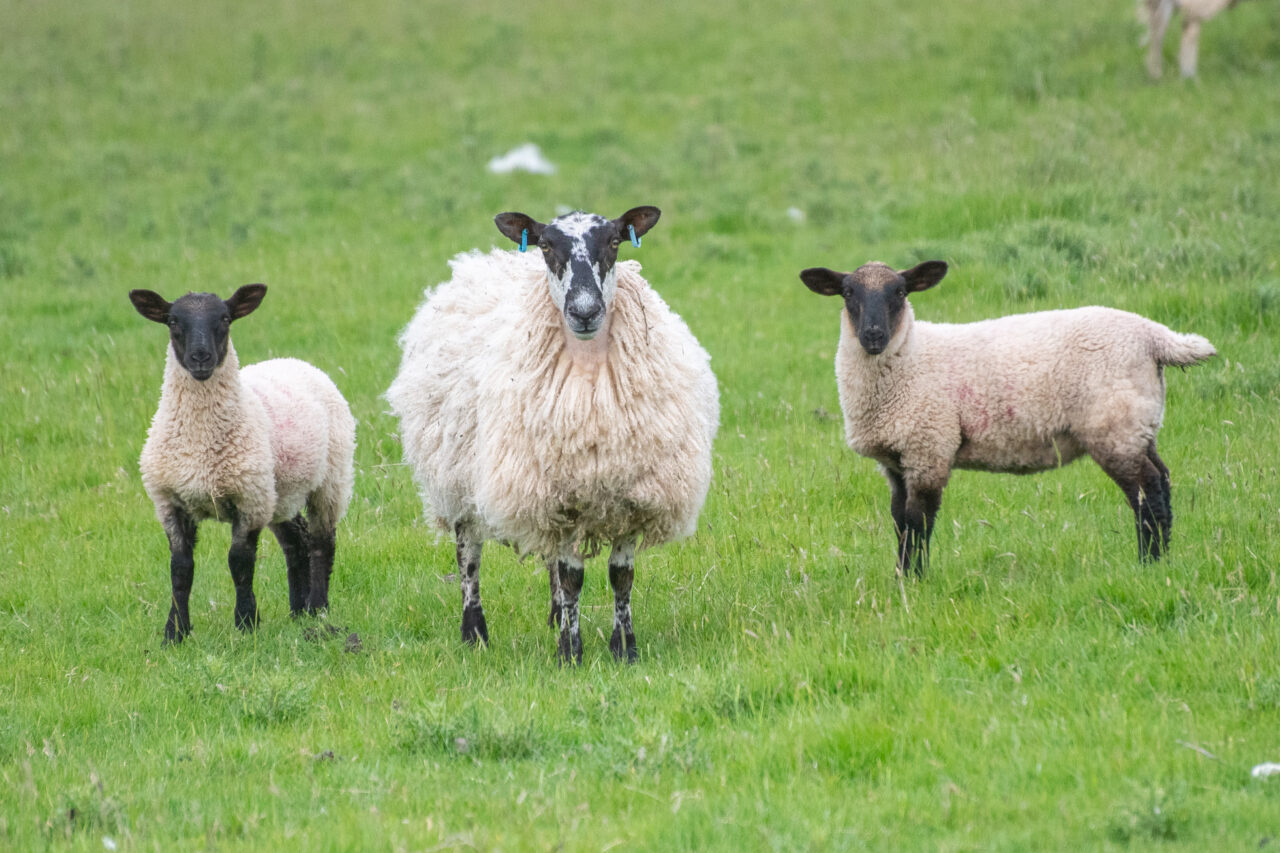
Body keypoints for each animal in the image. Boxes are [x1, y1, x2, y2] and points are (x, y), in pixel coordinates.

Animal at [129, 284, 356, 642]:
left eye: (224, 318)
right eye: (173, 321)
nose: (201, 358)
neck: (200, 442)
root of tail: (292, 360)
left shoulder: (248, 500)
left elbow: (240, 562)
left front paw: (247, 623)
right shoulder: (169, 503)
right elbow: (180, 568)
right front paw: (175, 632)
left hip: (330, 480)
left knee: (322, 542)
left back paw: (318, 608)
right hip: (278, 491)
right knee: (296, 541)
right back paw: (298, 611)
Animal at [386, 206, 719, 664]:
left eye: (614, 241)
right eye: (545, 245)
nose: (585, 311)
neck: (589, 376)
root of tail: (481, 261)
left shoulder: (632, 494)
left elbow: (621, 577)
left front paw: (624, 649)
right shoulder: (559, 495)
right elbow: (571, 576)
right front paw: (570, 653)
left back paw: (553, 615)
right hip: (457, 477)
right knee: (469, 555)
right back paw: (474, 633)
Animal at [799, 261, 1216, 576]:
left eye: (900, 292)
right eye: (848, 293)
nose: (873, 335)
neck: (910, 358)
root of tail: (1154, 336)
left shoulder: (928, 447)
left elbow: (919, 522)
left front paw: (916, 580)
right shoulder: (896, 461)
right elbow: (899, 521)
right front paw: (902, 576)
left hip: (1115, 427)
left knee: (1147, 492)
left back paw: (1149, 564)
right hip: (1140, 422)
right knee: (1162, 477)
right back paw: (1162, 559)